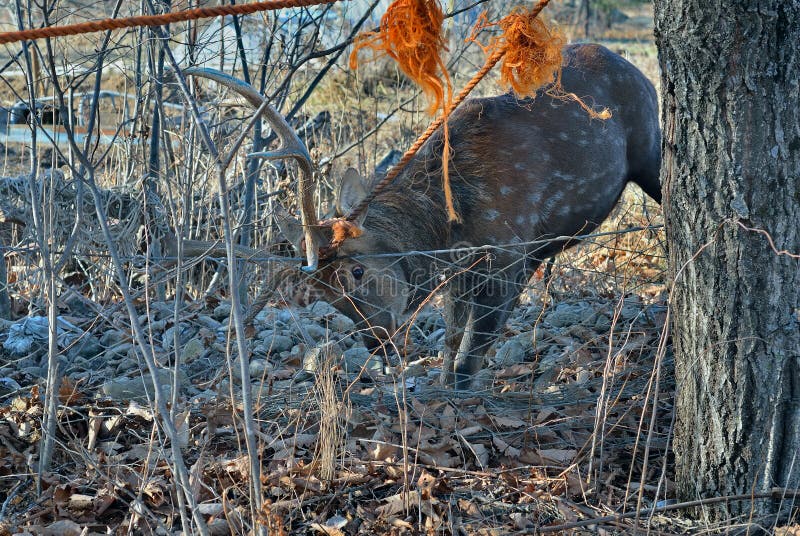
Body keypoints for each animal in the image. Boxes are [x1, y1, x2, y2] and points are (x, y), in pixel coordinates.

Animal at [185, 43, 661, 389]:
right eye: (324, 295)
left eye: (357, 271)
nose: (378, 343)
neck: (450, 222)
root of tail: (638, 70)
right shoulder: (463, 269)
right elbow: (452, 339)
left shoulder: (506, 252)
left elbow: (471, 351)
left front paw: (457, 393)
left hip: (651, 150)